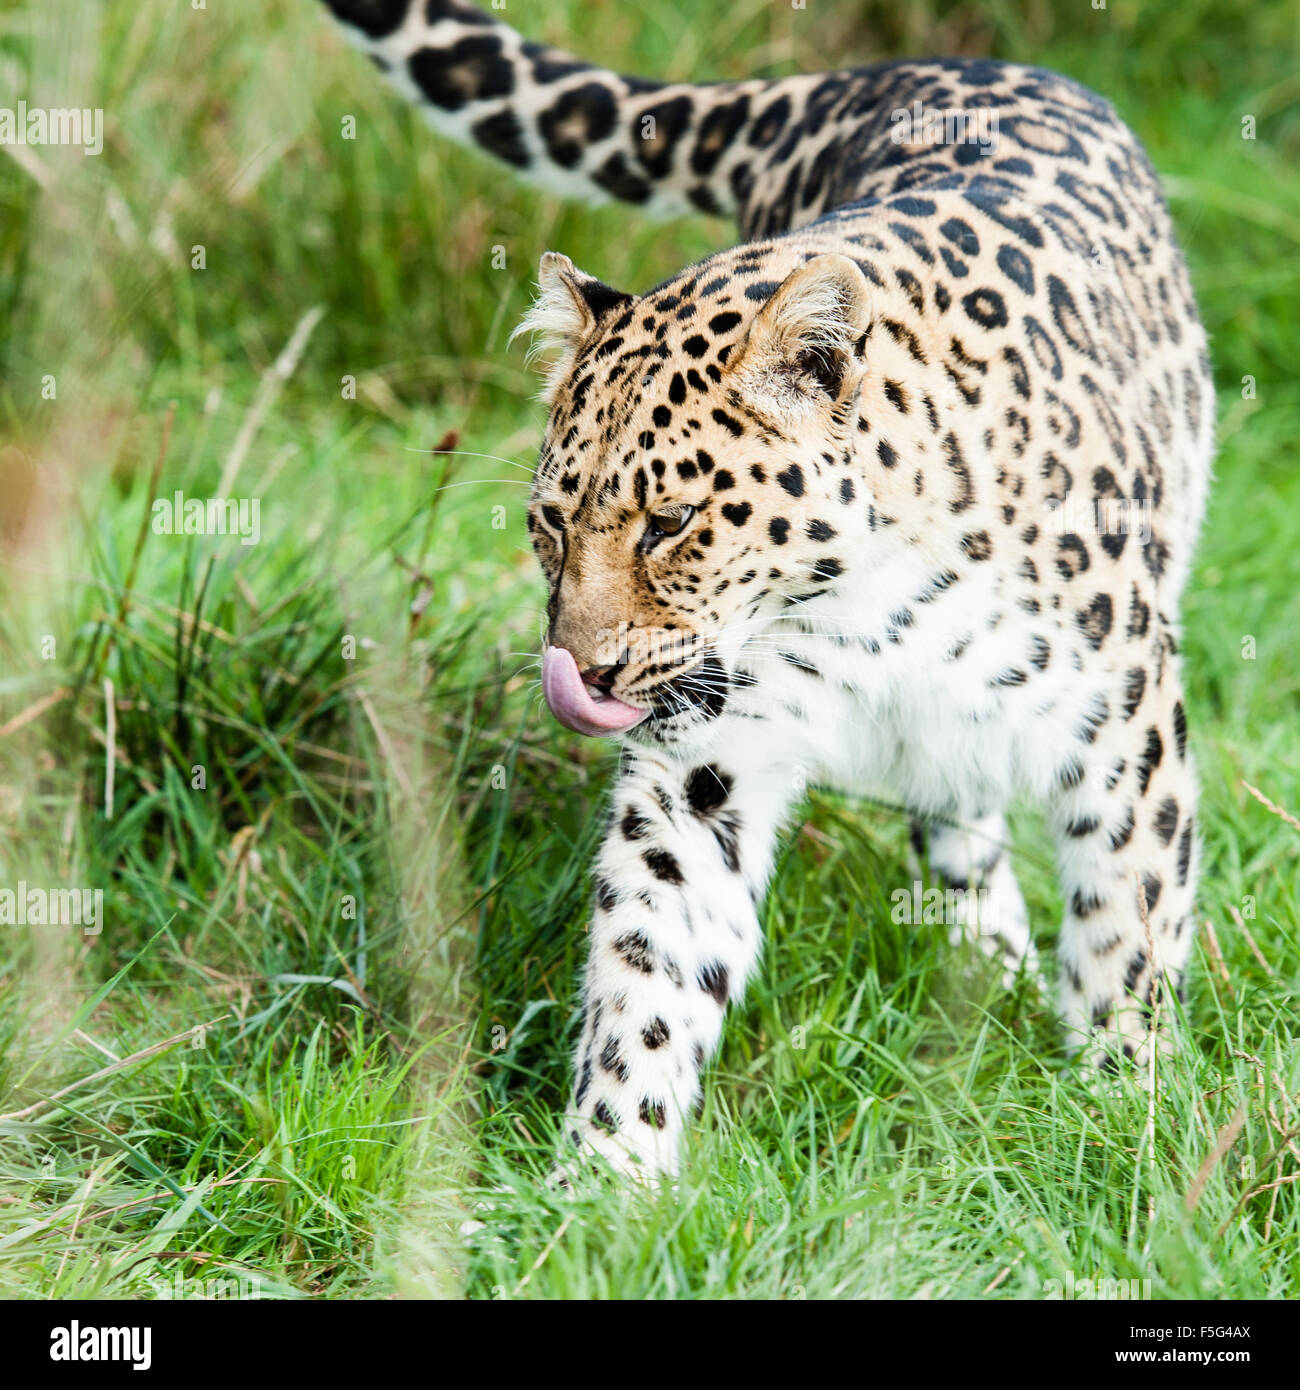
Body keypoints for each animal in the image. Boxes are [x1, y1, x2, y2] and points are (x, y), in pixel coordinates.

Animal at [316, 0, 1213, 1179]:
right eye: (552, 521)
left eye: (670, 522)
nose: (582, 673)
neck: (864, 603)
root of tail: (864, 76)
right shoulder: (708, 757)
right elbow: (652, 957)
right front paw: (605, 1176)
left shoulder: (1126, 719)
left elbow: (1127, 919)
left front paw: (1130, 1111)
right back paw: (987, 967)